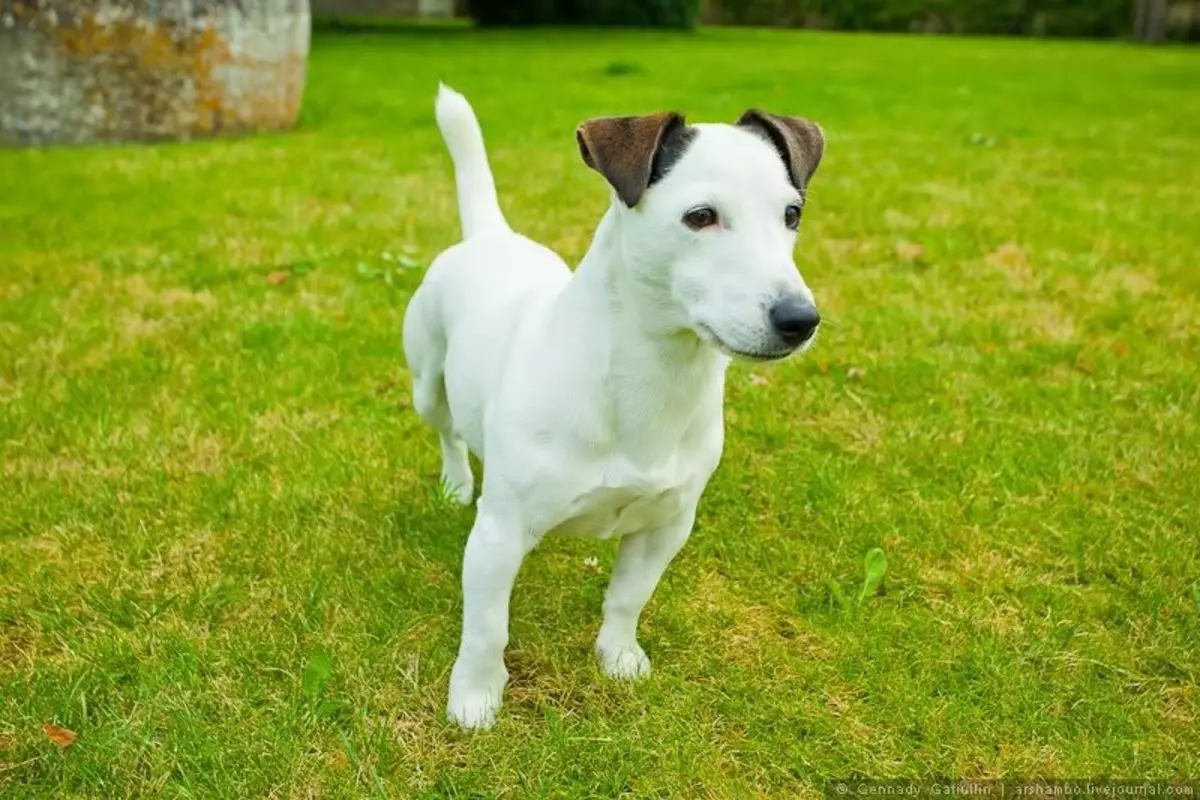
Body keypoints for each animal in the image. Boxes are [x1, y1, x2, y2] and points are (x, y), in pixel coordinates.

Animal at [403, 84, 825, 729]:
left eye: (792, 215)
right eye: (700, 216)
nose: (800, 319)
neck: (650, 379)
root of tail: (489, 237)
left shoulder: (668, 524)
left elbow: (629, 595)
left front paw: (618, 656)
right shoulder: (499, 534)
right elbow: (487, 629)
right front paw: (475, 698)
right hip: (428, 381)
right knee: (447, 429)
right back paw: (454, 482)